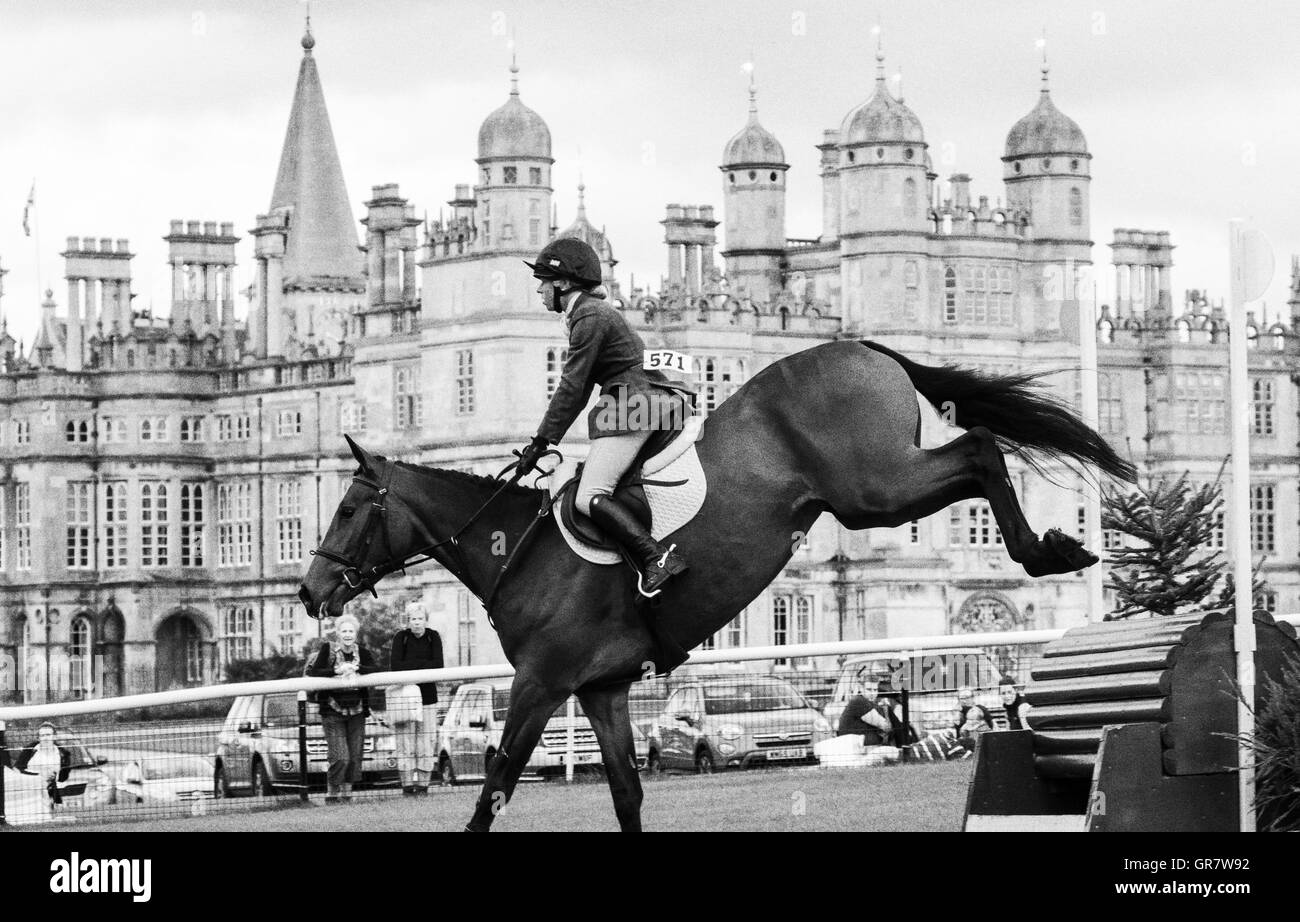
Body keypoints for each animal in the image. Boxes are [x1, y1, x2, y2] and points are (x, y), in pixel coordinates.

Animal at [298, 340, 1135, 831]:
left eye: (347, 509)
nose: (310, 593)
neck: (521, 554)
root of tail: (854, 343)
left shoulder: (541, 682)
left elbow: (496, 783)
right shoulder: (601, 689)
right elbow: (625, 792)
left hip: (872, 488)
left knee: (983, 448)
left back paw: (1047, 551)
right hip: (872, 494)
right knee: (980, 452)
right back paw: (1054, 548)